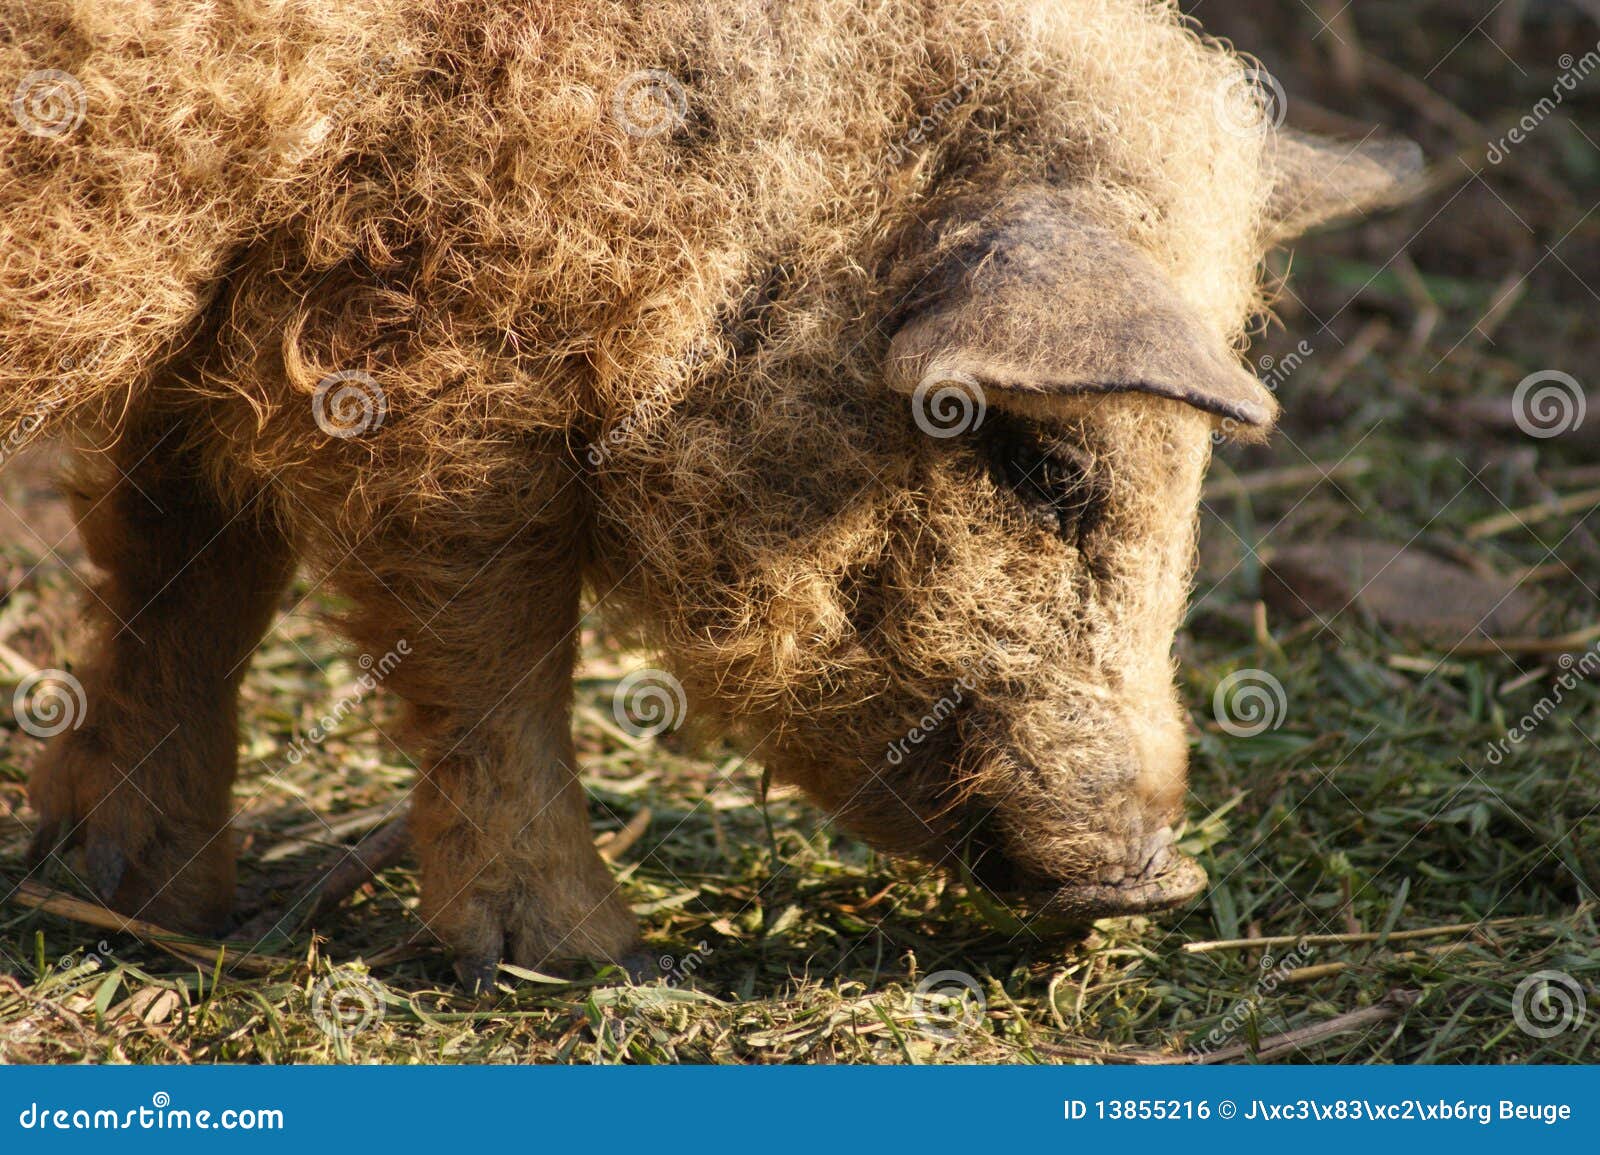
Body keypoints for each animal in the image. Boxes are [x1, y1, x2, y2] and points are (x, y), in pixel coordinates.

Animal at [0, 0, 1417, 984]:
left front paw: (145, 900)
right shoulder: (436, 371)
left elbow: (189, 579)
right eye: (1040, 466)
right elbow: (496, 653)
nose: (1156, 884)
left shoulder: (224, 319)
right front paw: (593, 962)